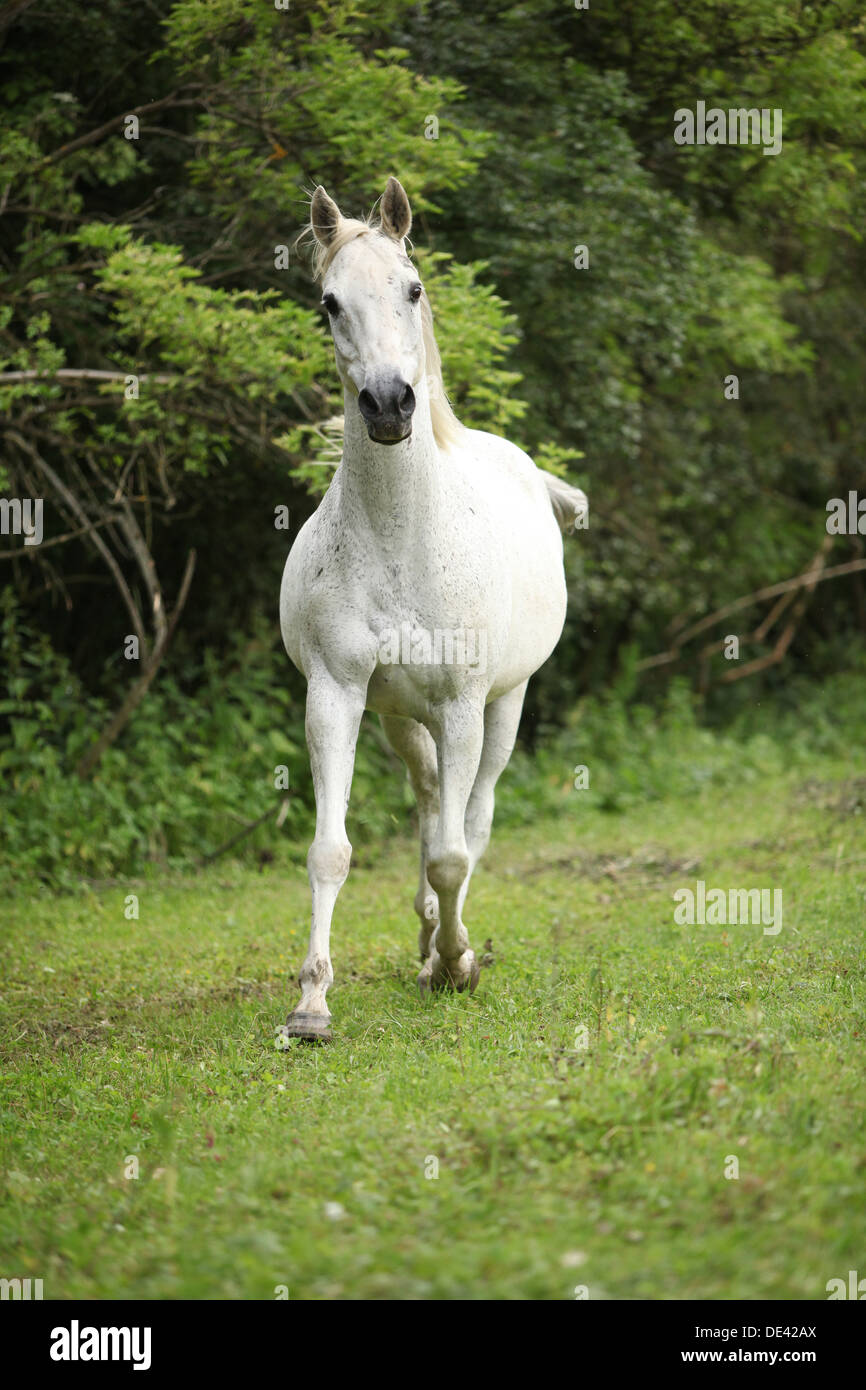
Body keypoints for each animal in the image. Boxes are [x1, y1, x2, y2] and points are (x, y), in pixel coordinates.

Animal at [278, 177, 586, 1042]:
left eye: (412, 289)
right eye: (329, 302)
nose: (388, 404)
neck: (398, 538)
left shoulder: (462, 705)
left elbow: (455, 852)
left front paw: (457, 964)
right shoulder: (337, 696)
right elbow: (332, 850)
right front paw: (312, 1003)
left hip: (502, 707)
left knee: (468, 821)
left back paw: (446, 944)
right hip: (398, 719)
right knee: (426, 807)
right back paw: (422, 935)